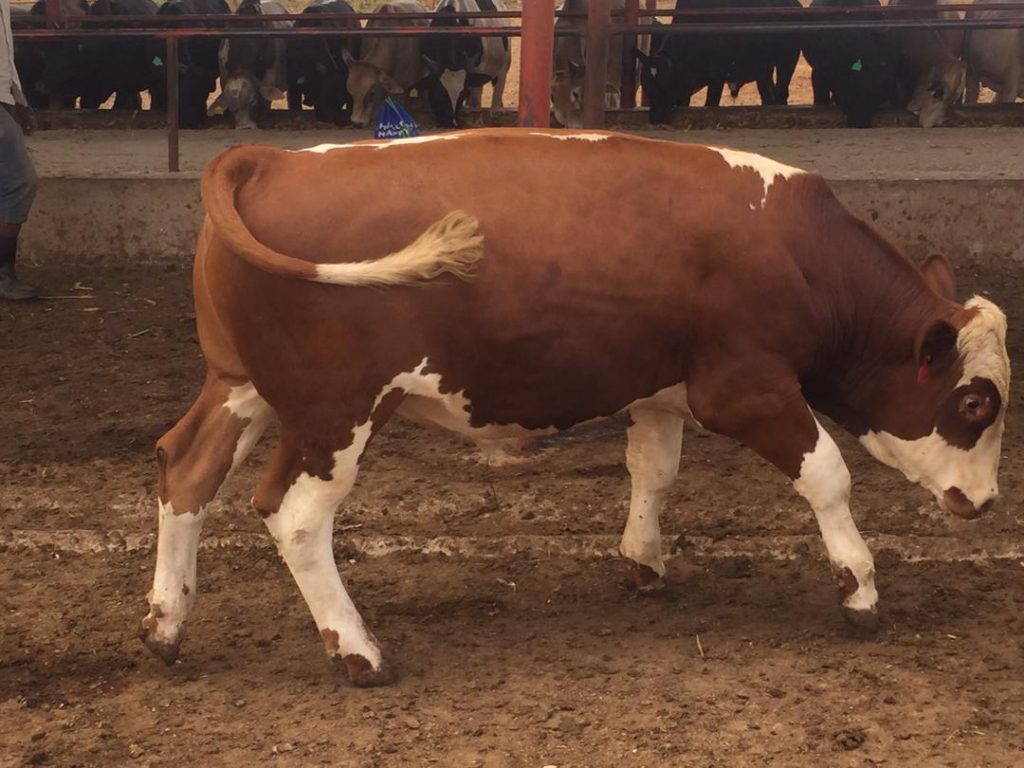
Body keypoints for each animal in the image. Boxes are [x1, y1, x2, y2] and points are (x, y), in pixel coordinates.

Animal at [138, 129, 1010, 687]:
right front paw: (859, 588)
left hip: (240, 388)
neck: (795, 254)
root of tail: (268, 159)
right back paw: (358, 652)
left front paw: (644, 561)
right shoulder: (747, 387)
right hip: (335, 413)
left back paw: (166, 623)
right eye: (973, 401)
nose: (985, 501)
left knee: (186, 471)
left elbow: (654, 473)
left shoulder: (657, 390)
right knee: (293, 516)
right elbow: (827, 475)